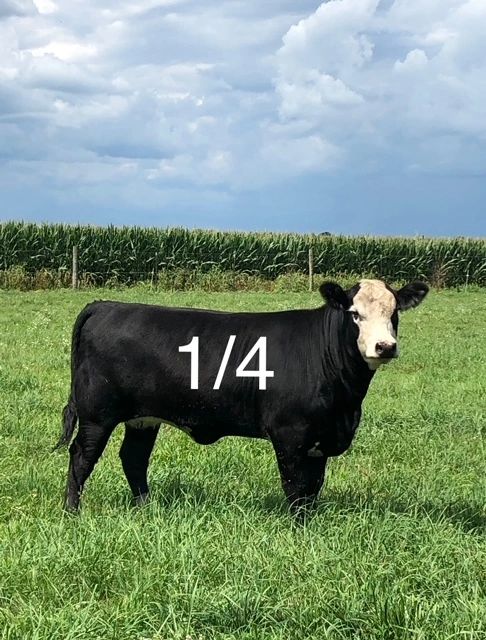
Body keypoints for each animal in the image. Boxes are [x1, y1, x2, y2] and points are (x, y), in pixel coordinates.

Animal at [54, 279, 428, 514]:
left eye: (394, 313)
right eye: (354, 314)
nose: (385, 346)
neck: (346, 401)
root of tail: (106, 305)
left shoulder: (320, 438)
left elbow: (314, 487)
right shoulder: (290, 435)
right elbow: (296, 487)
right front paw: (300, 529)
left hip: (143, 418)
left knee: (133, 458)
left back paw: (146, 509)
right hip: (97, 414)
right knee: (81, 457)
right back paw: (73, 512)